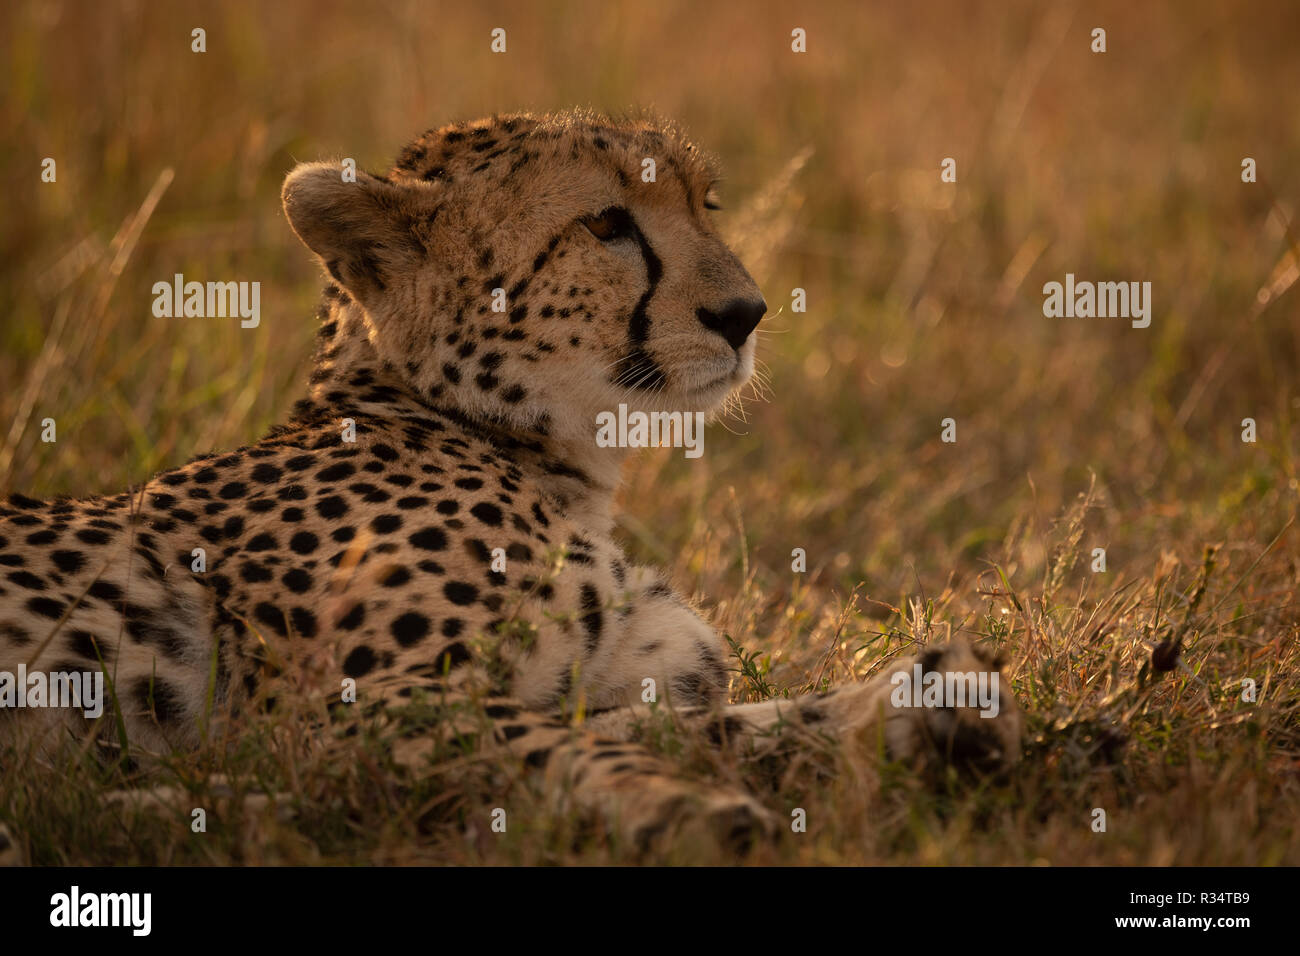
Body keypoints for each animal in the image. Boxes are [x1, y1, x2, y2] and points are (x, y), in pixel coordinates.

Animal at [0, 110, 1022, 859]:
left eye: (709, 206)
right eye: (608, 225)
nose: (746, 313)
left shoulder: (609, 682)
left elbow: (690, 723)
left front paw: (926, 704)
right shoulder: (347, 704)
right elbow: (572, 743)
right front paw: (691, 814)